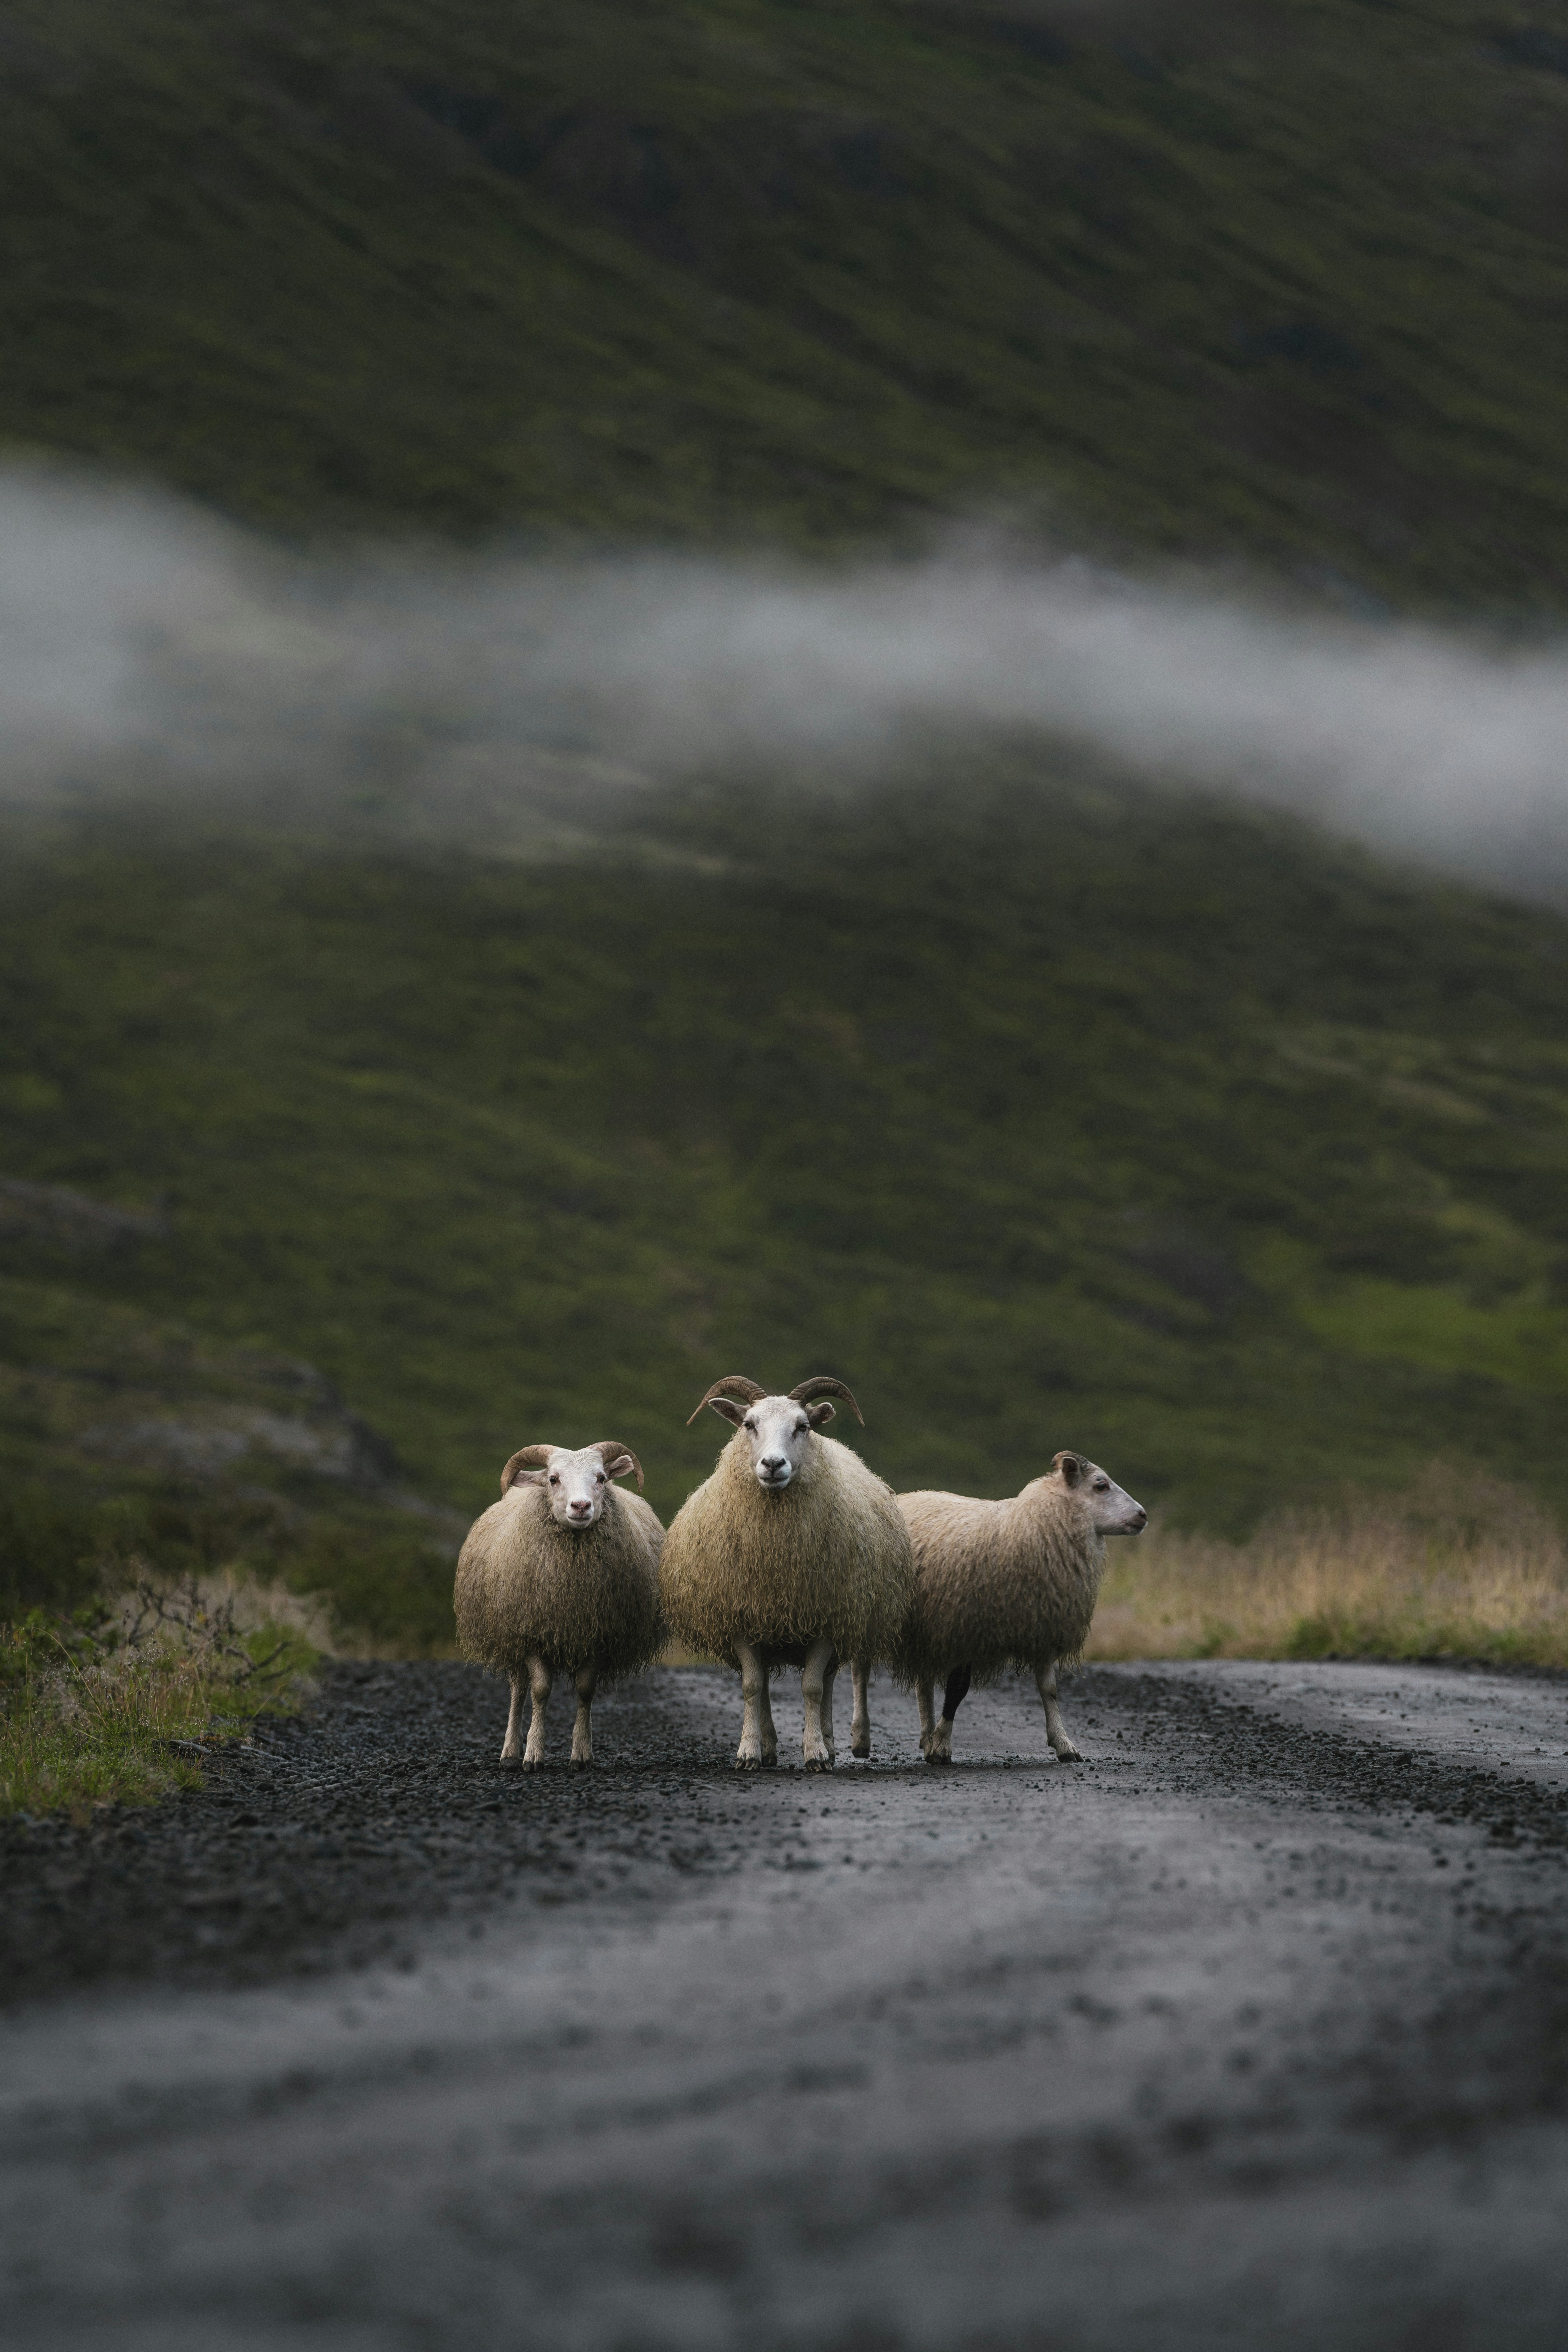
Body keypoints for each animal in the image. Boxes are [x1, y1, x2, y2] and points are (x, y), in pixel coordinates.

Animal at [453, 1440, 664, 1769]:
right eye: (553, 1479)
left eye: (602, 1478)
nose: (581, 1507)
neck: (572, 1587)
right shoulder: (531, 1634)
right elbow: (540, 1692)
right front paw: (533, 1754)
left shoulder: (598, 1635)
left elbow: (586, 1691)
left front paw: (582, 1754)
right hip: (510, 1634)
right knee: (518, 1691)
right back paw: (510, 1751)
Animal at [658, 1375, 914, 1772]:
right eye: (749, 1425)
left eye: (803, 1427)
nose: (773, 1464)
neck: (777, 1555)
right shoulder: (742, 1619)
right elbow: (751, 1687)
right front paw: (748, 1752)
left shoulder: (826, 1621)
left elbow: (813, 1688)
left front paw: (817, 1754)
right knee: (763, 1685)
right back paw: (768, 1747)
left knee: (826, 1684)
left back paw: (828, 1744)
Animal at [849, 1451, 1146, 1765]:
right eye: (1101, 1485)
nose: (1143, 1516)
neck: (1030, 1529)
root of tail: (904, 1497)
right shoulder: (967, 1629)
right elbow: (958, 1689)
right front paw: (942, 1744)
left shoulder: (1041, 1628)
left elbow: (1050, 1690)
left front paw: (1064, 1744)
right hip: (875, 1608)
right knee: (861, 1670)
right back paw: (862, 1738)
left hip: (926, 1627)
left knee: (923, 1682)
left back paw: (925, 1734)